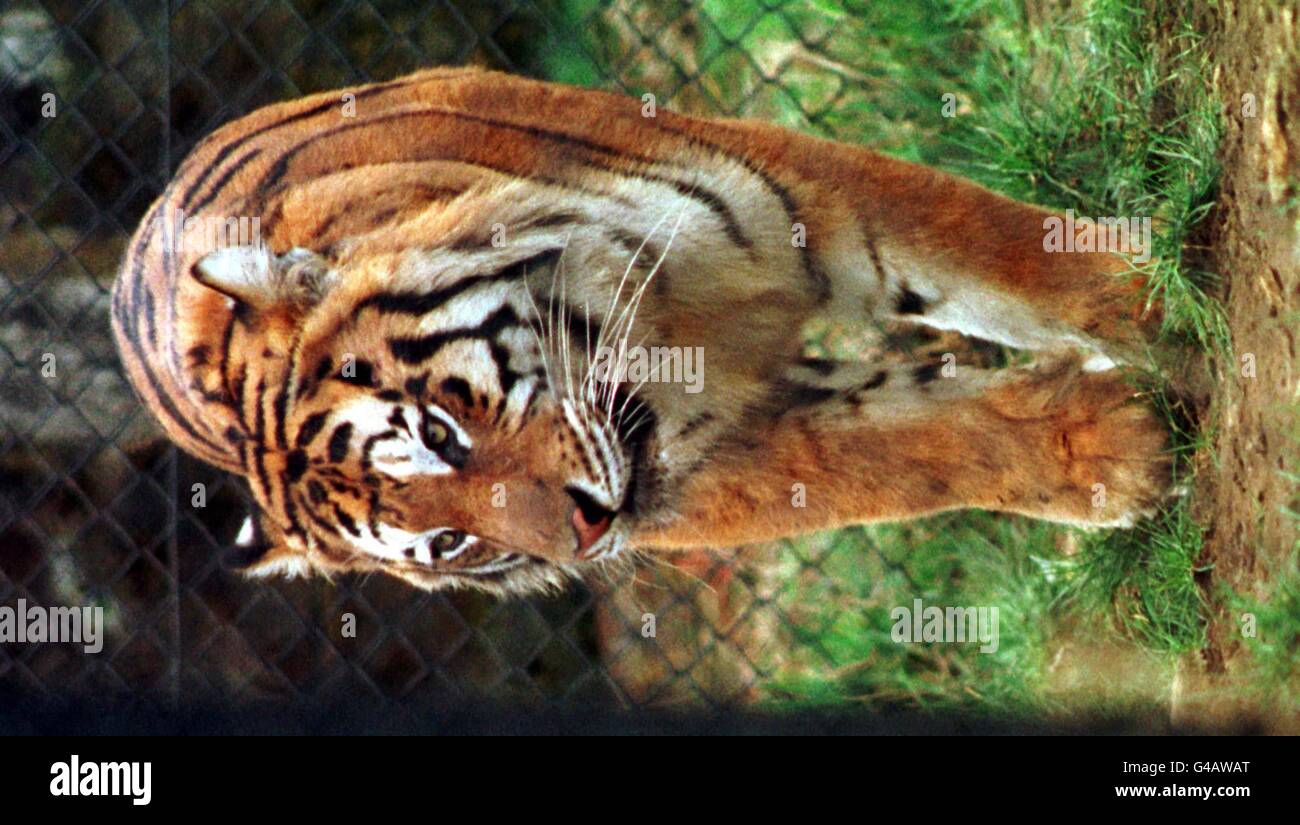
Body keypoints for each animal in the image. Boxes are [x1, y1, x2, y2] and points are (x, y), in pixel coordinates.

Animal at [111, 67, 1172, 595]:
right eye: (449, 543)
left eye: (440, 435)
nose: (586, 534)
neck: (653, 333)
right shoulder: (699, 471)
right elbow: (904, 456)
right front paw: (1112, 453)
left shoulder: (803, 204)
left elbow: (1007, 254)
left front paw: (1156, 301)